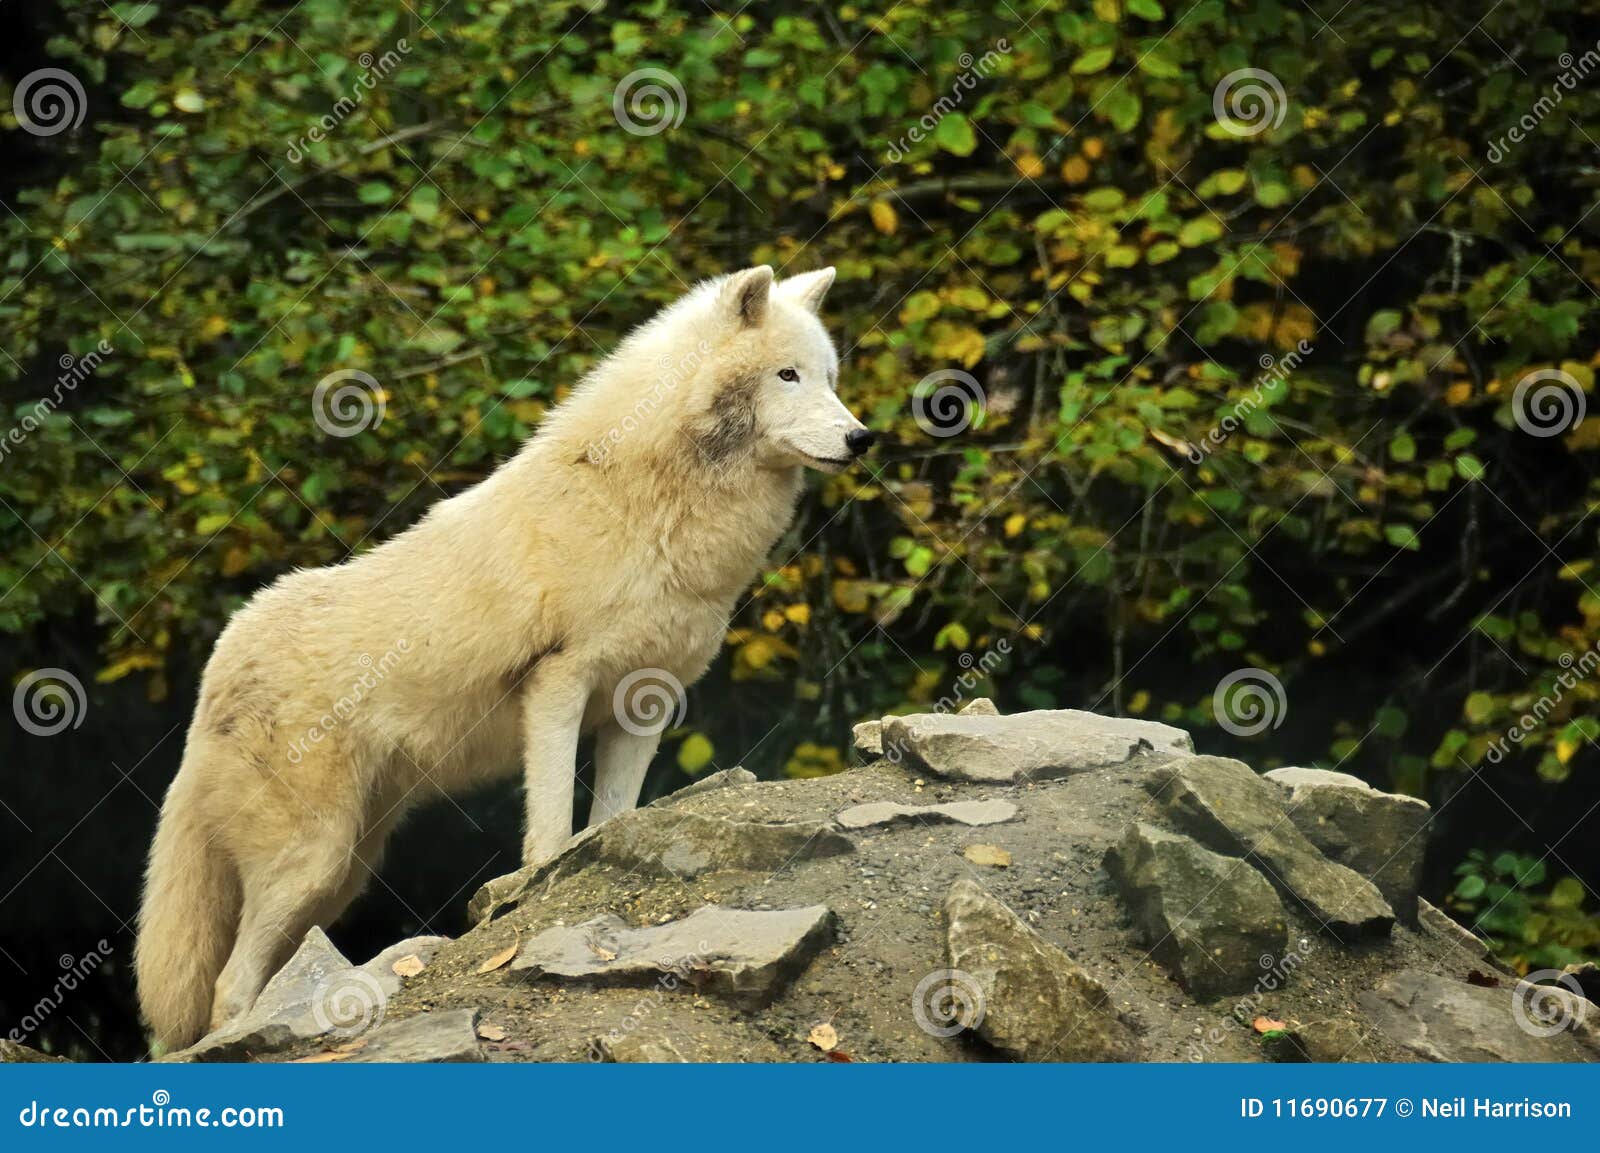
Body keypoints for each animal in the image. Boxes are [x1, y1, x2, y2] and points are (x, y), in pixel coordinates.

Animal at [134, 266, 871, 1050]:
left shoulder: (646, 702)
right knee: (225, 992)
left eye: (830, 378)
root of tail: (220, 663)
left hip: (340, 875)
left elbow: (610, 819)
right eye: (787, 375)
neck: (647, 502)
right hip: (310, 863)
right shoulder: (558, 685)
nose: (862, 437)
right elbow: (550, 831)